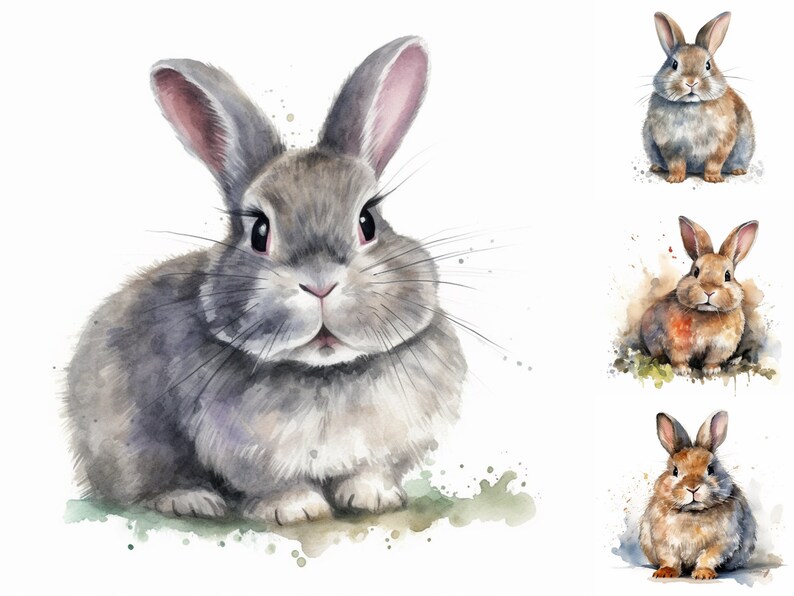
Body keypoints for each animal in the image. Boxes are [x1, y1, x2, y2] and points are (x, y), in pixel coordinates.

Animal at [64, 36, 467, 525]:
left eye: (368, 222)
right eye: (259, 231)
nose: (319, 284)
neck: (325, 374)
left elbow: (370, 470)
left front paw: (373, 497)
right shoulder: (244, 452)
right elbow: (274, 483)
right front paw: (295, 510)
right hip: (129, 440)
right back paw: (190, 499)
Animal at [640, 411, 756, 580]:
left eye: (711, 469)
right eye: (675, 471)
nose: (693, 488)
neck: (693, 513)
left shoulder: (722, 543)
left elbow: (708, 557)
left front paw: (703, 574)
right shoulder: (664, 543)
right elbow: (670, 559)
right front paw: (665, 573)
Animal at [641, 216, 758, 377]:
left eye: (727, 275)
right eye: (696, 272)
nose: (708, 291)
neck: (707, 313)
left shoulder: (720, 346)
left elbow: (713, 359)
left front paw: (711, 370)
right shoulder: (676, 343)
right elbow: (678, 357)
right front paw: (682, 370)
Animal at [643, 11, 755, 183]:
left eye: (708, 65)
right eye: (674, 64)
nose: (691, 82)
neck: (691, 105)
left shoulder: (721, 145)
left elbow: (714, 163)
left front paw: (714, 179)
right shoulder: (670, 147)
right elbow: (676, 164)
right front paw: (674, 179)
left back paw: (738, 170)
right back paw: (656, 167)